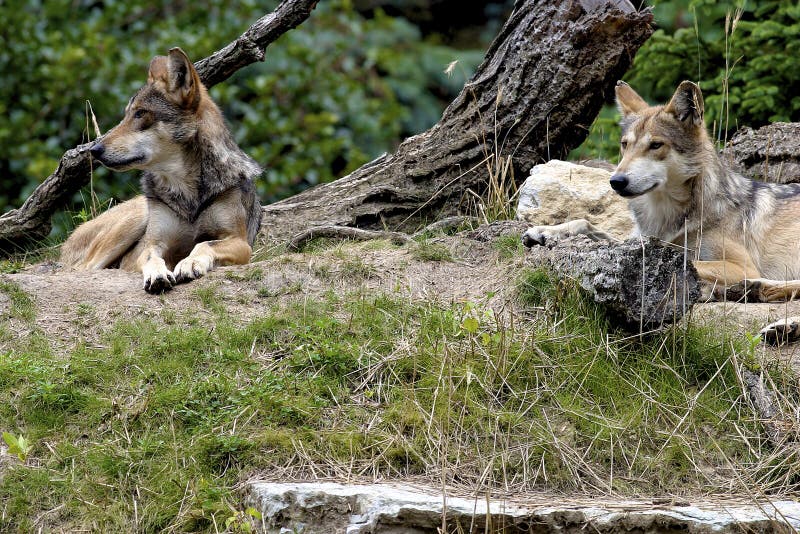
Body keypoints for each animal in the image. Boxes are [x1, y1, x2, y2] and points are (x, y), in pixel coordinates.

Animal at [61, 47, 262, 294]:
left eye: (140, 113)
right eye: (127, 114)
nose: (94, 150)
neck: (185, 190)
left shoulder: (239, 242)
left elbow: (204, 244)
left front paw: (190, 262)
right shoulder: (153, 243)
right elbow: (152, 258)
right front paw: (157, 275)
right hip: (136, 218)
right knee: (82, 269)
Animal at [522, 80, 800, 343]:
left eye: (656, 145)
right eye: (625, 145)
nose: (616, 181)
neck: (666, 217)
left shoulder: (741, 266)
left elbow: (687, 260)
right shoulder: (638, 238)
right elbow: (587, 223)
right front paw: (544, 231)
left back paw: (782, 322)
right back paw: (754, 293)